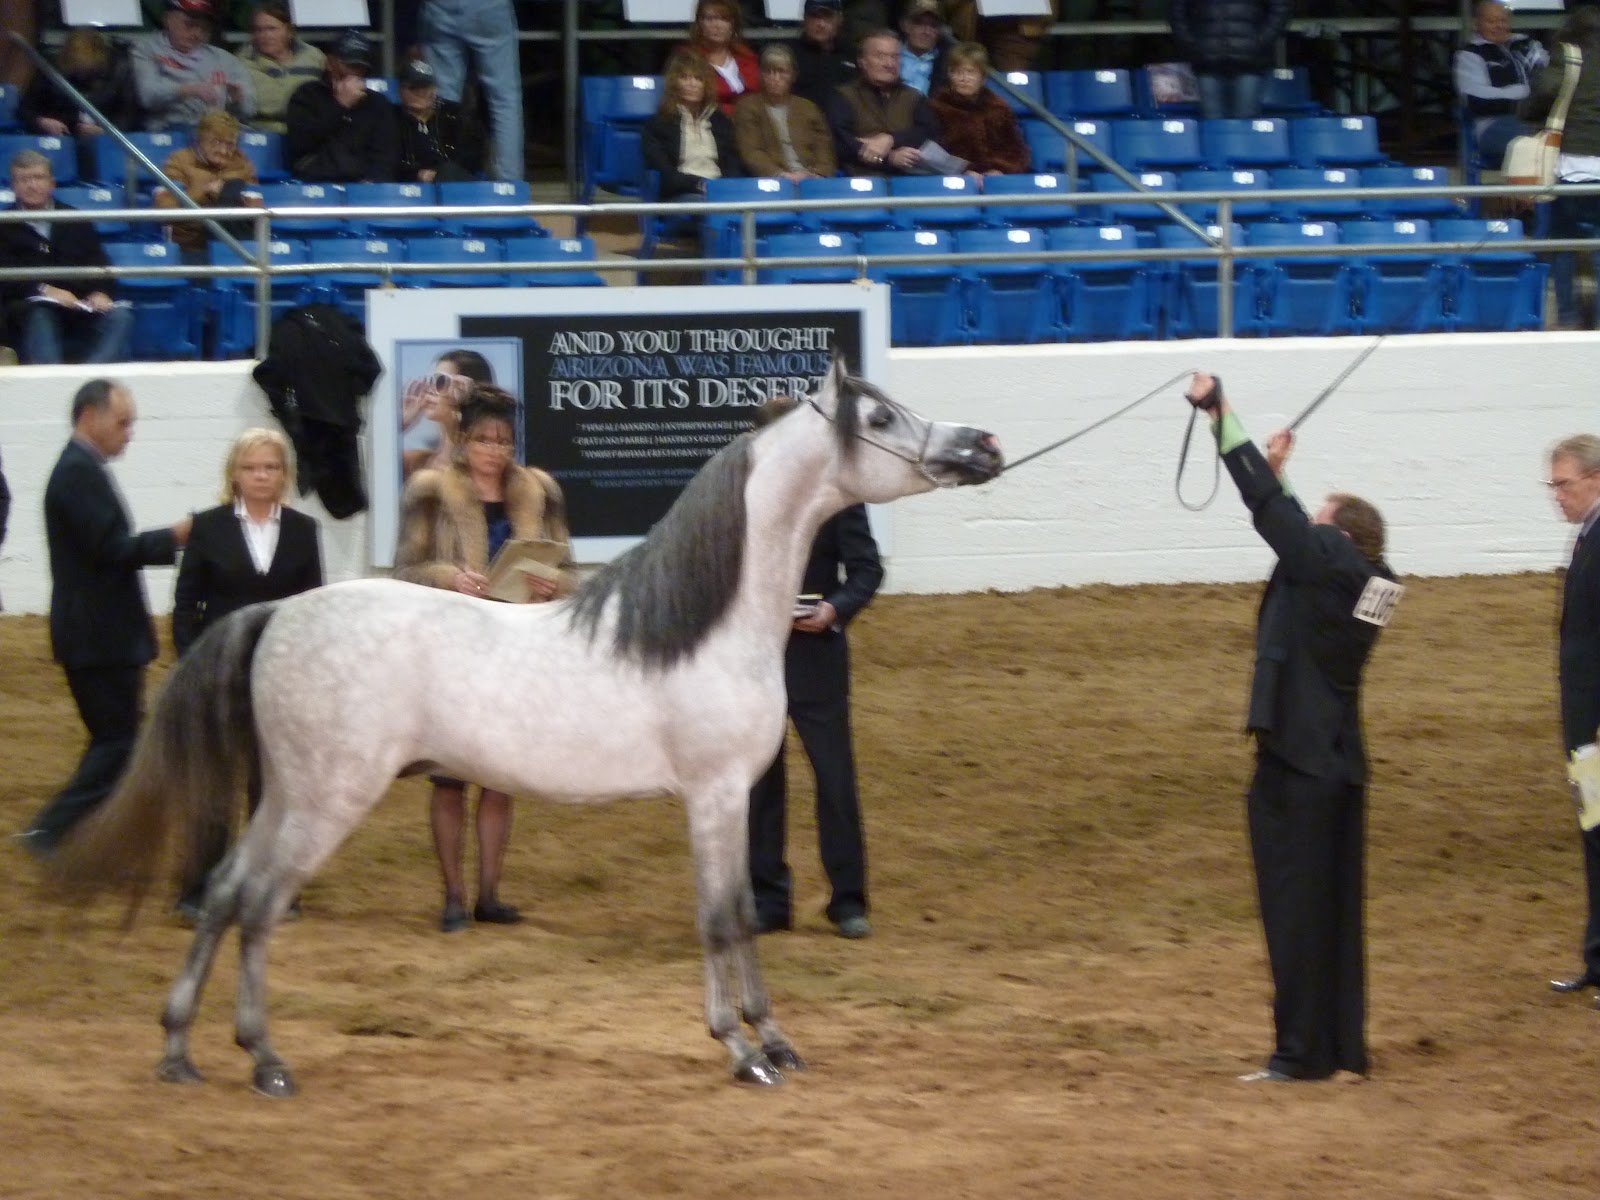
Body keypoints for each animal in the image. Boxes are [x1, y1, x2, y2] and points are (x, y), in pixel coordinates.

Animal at [43, 356, 1003, 1097]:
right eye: (879, 415)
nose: (983, 445)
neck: (706, 624)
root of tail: (277, 613)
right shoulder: (714, 795)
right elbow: (722, 917)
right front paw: (742, 1049)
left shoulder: (733, 796)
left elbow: (736, 911)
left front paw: (773, 1039)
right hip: (325, 801)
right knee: (257, 903)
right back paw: (266, 1060)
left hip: (288, 795)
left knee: (226, 893)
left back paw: (185, 1052)